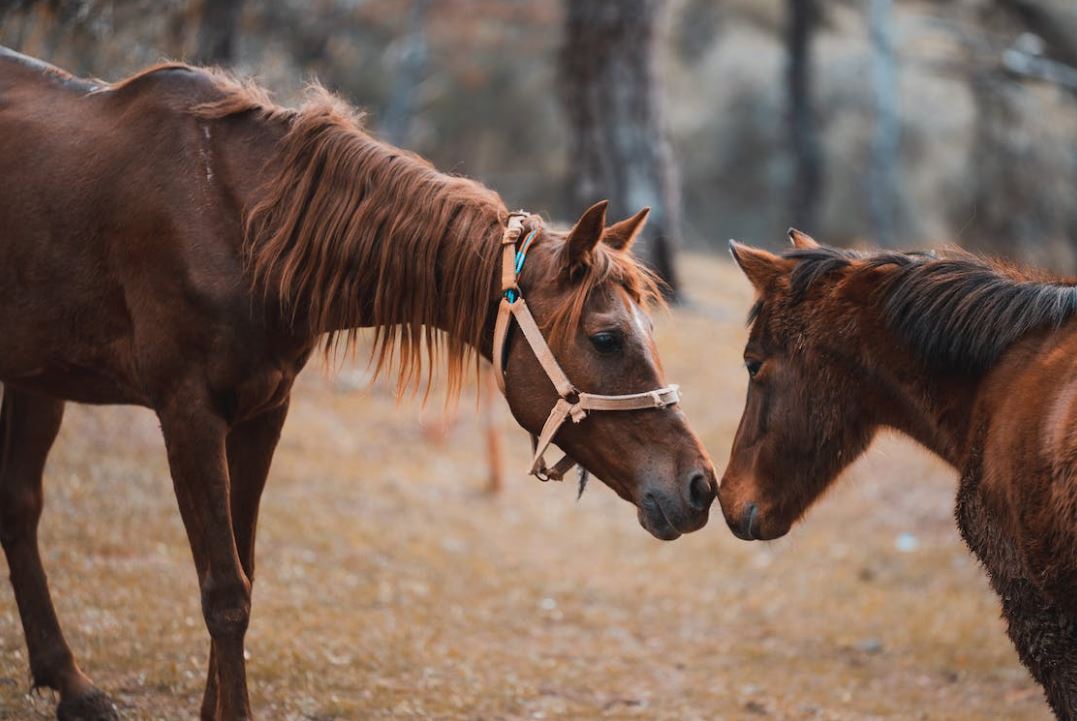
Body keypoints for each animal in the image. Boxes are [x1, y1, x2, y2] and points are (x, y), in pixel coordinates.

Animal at [0, 47, 718, 721]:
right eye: (607, 338)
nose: (699, 485)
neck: (238, 223)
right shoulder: (188, 415)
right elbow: (224, 591)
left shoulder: (263, 412)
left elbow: (243, 570)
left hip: (38, 378)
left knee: (20, 506)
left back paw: (71, 684)